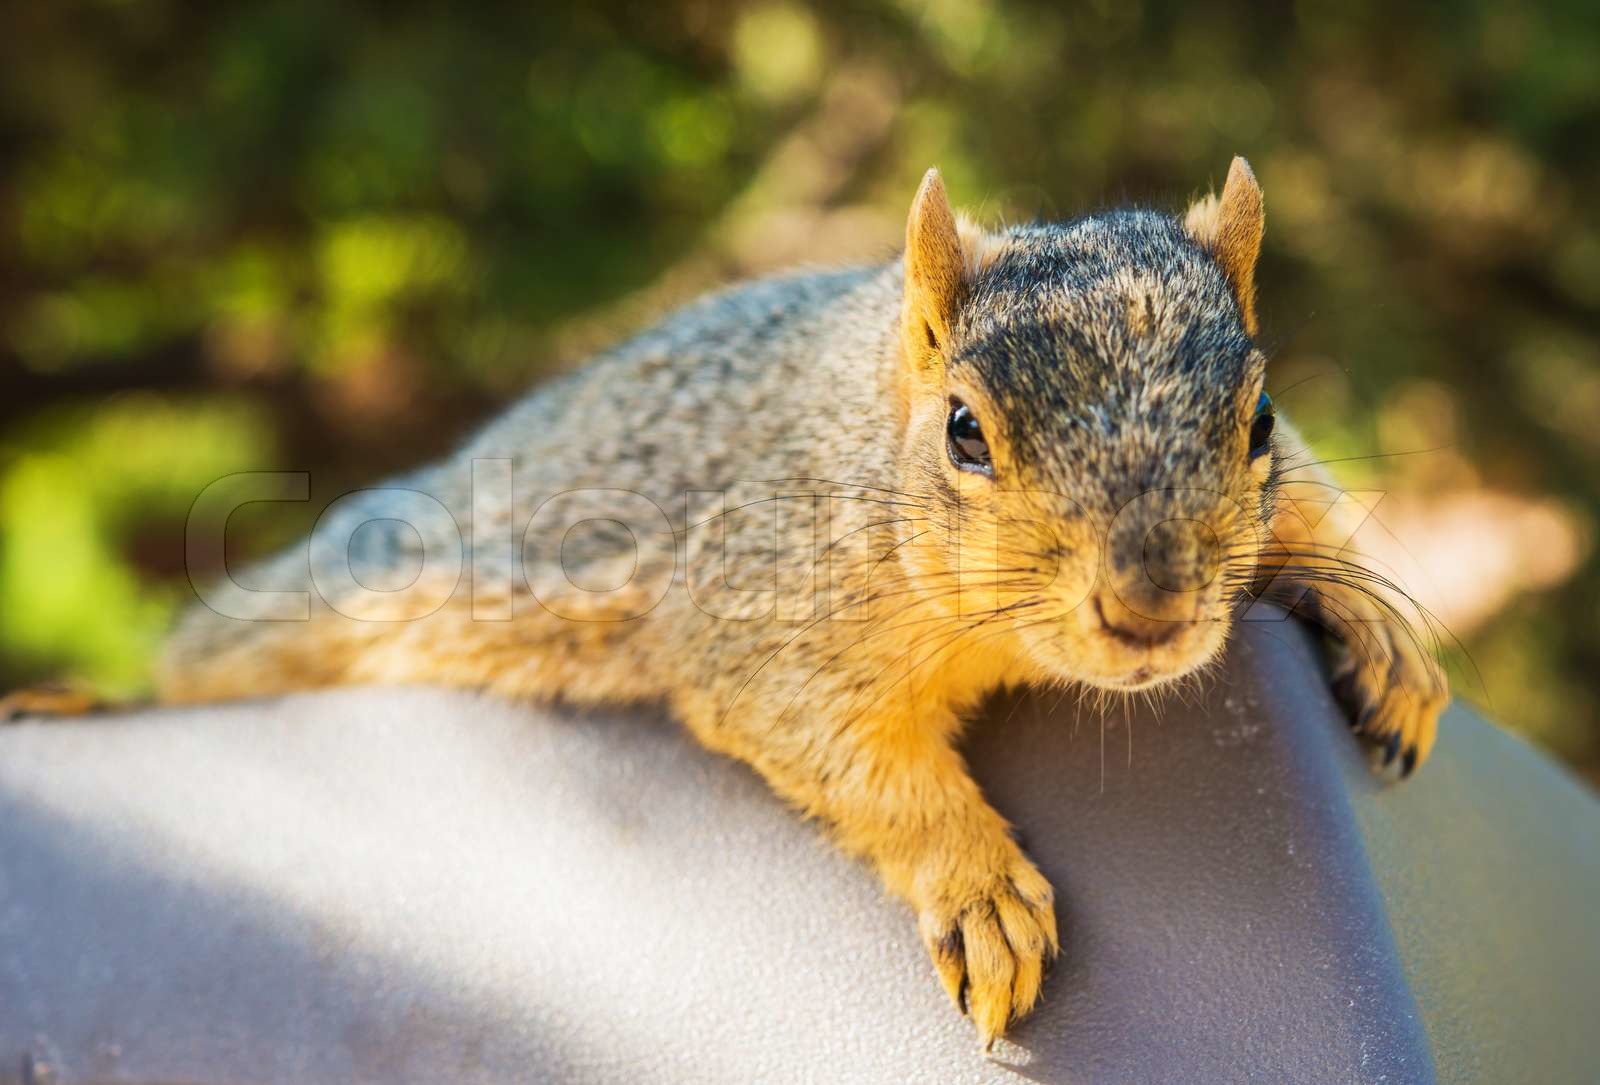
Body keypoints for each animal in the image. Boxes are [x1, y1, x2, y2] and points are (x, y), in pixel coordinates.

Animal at [11, 157, 1449, 1047]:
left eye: (1259, 418)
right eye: (966, 432)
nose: (1149, 609)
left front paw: (1381, 622)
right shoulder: (756, 609)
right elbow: (850, 751)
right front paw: (976, 880)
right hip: (319, 602)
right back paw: (83, 697)